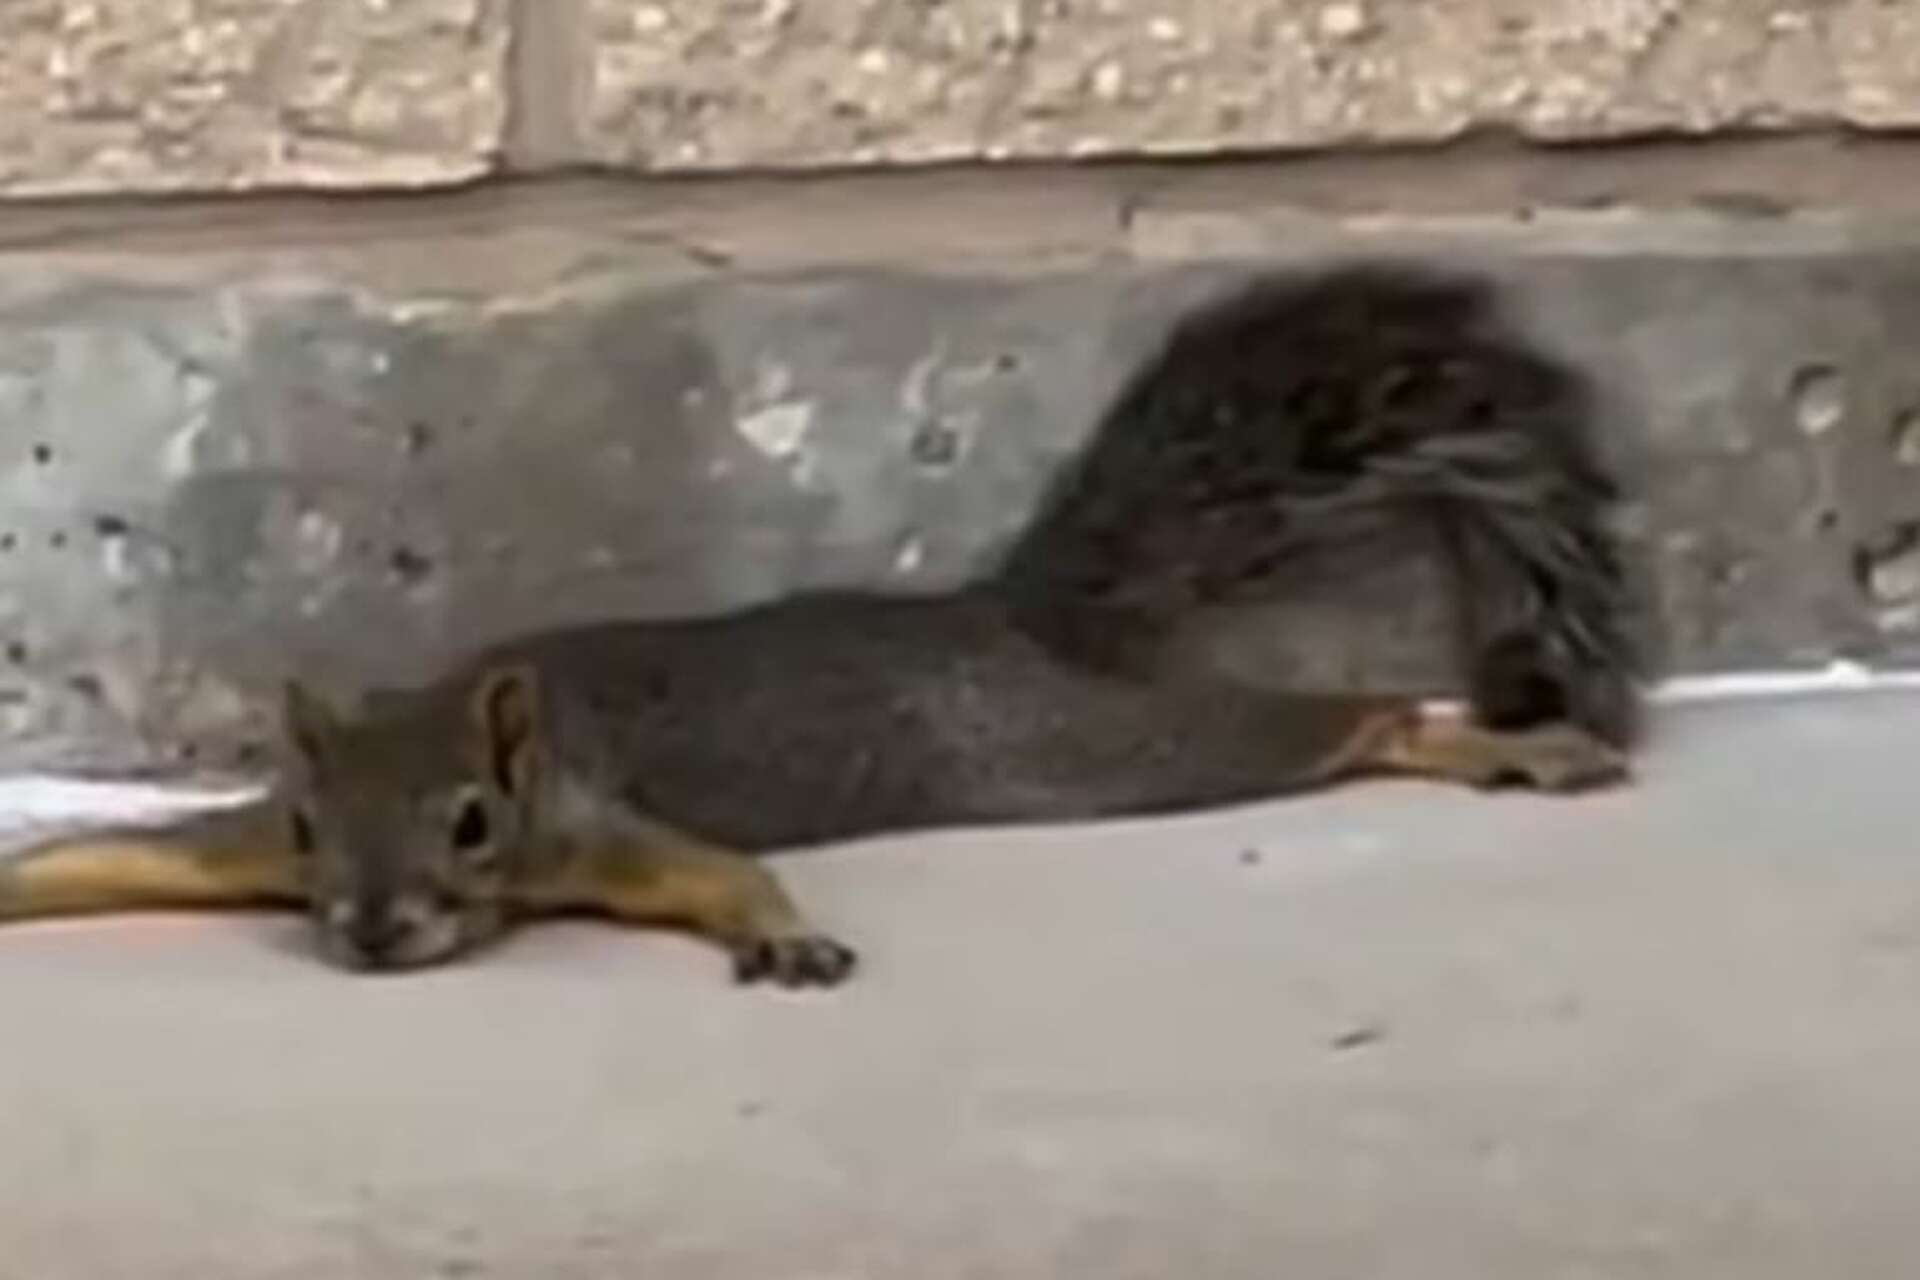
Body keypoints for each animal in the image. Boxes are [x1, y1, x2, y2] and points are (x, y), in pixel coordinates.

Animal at [0, 262, 1639, 988]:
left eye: (471, 820)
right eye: (304, 823)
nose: (368, 924)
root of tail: (1007, 612)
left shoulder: (601, 827)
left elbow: (721, 875)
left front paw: (783, 933)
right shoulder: (229, 853)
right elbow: (110, 855)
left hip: (1099, 748)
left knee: (1331, 724)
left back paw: (1496, 745)